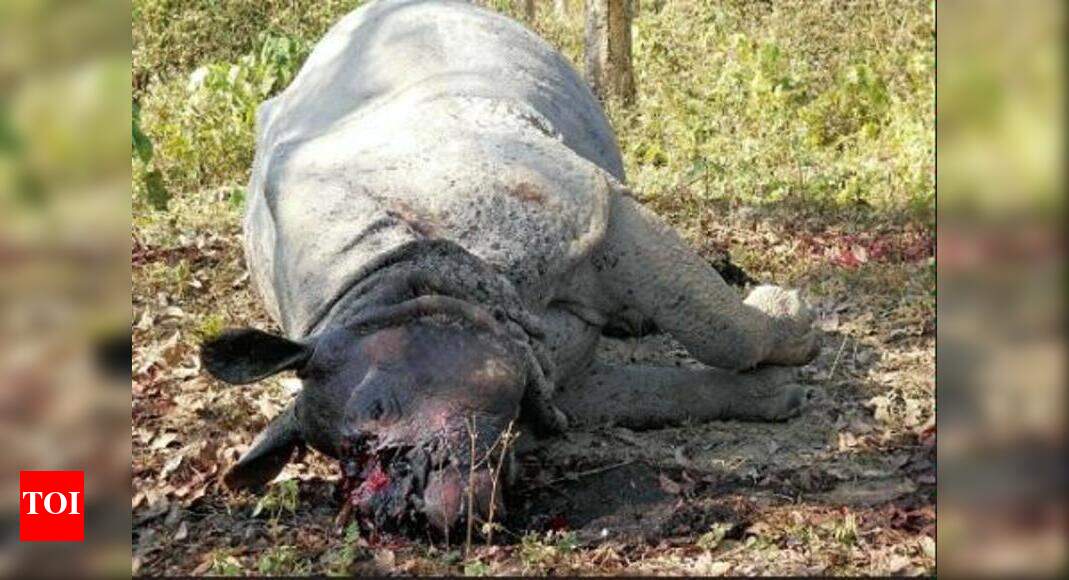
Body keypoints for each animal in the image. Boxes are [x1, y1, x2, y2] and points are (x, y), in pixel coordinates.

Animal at [201, 0, 820, 535]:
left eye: (381, 408)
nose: (414, 517)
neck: (388, 283)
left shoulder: (585, 209)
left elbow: (717, 327)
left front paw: (796, 320)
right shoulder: (548, 375)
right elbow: (652, 397)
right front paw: (779, 395)